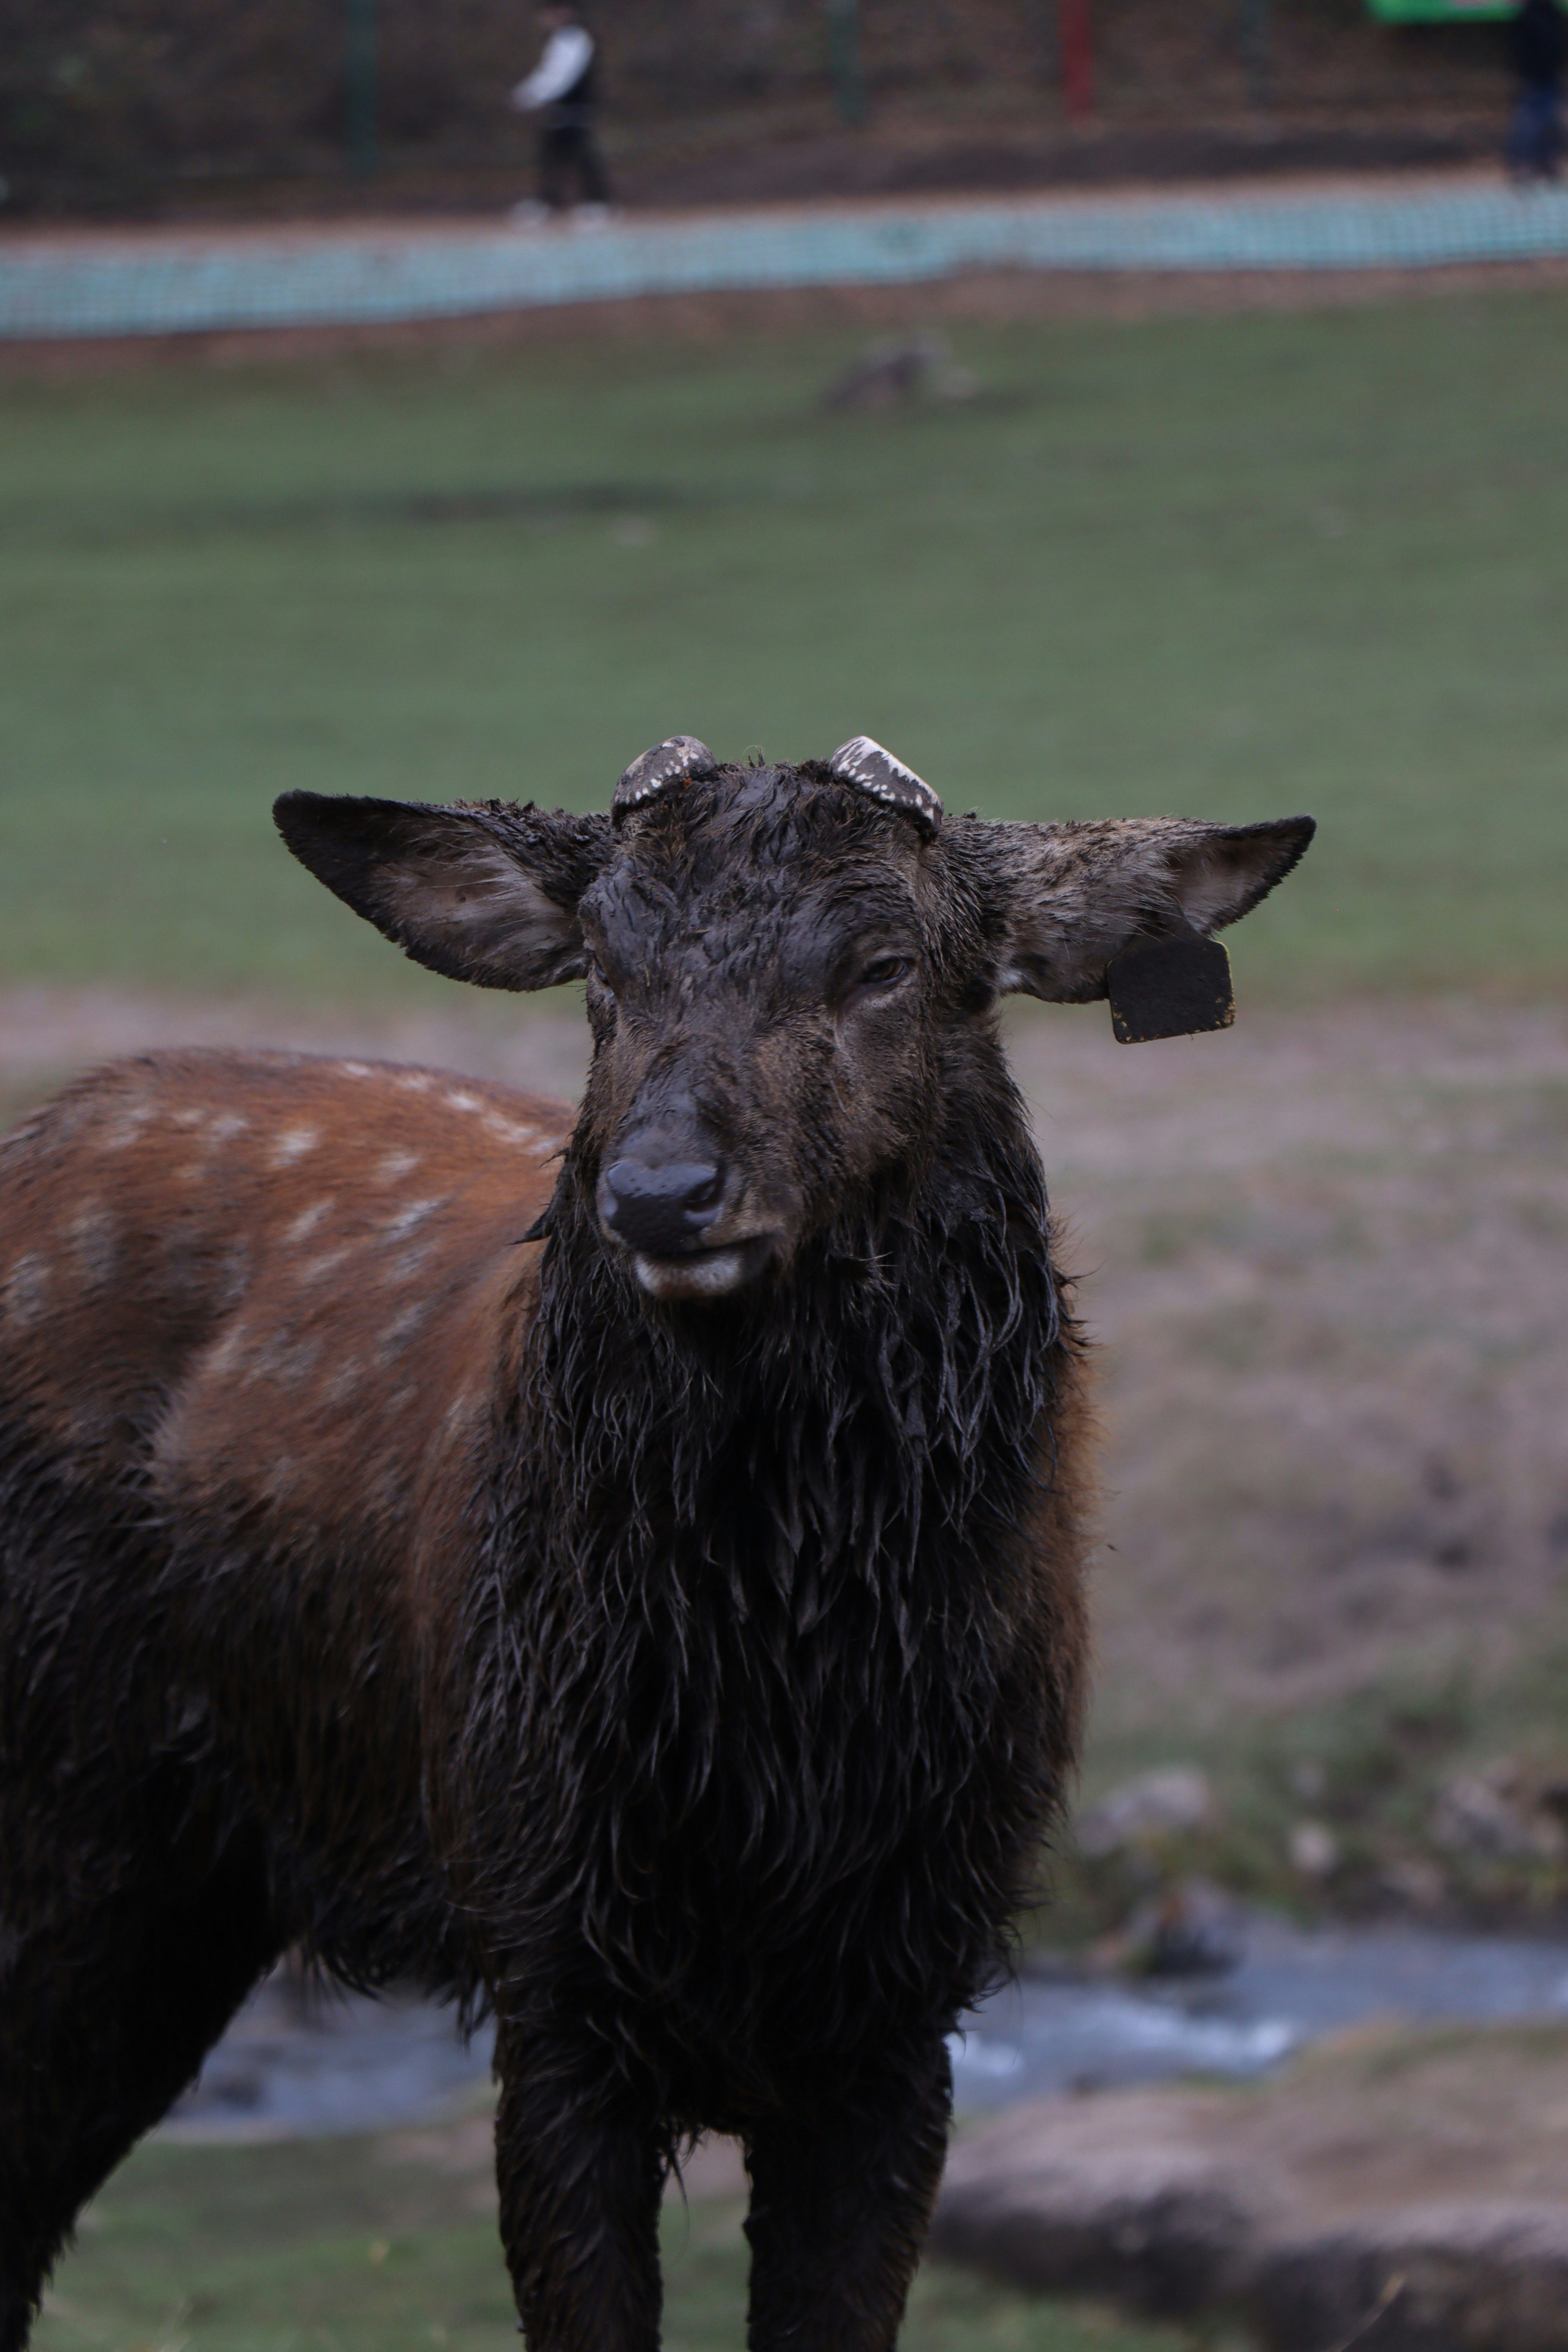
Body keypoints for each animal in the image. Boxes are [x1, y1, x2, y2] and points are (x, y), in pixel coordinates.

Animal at [0, 736, 1313, 2352]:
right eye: (603, 971)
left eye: (886, 964)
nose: (661, 1193)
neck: (768, 1757)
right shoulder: (540, 1946)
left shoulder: (910, 1988)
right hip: (64, 1812)